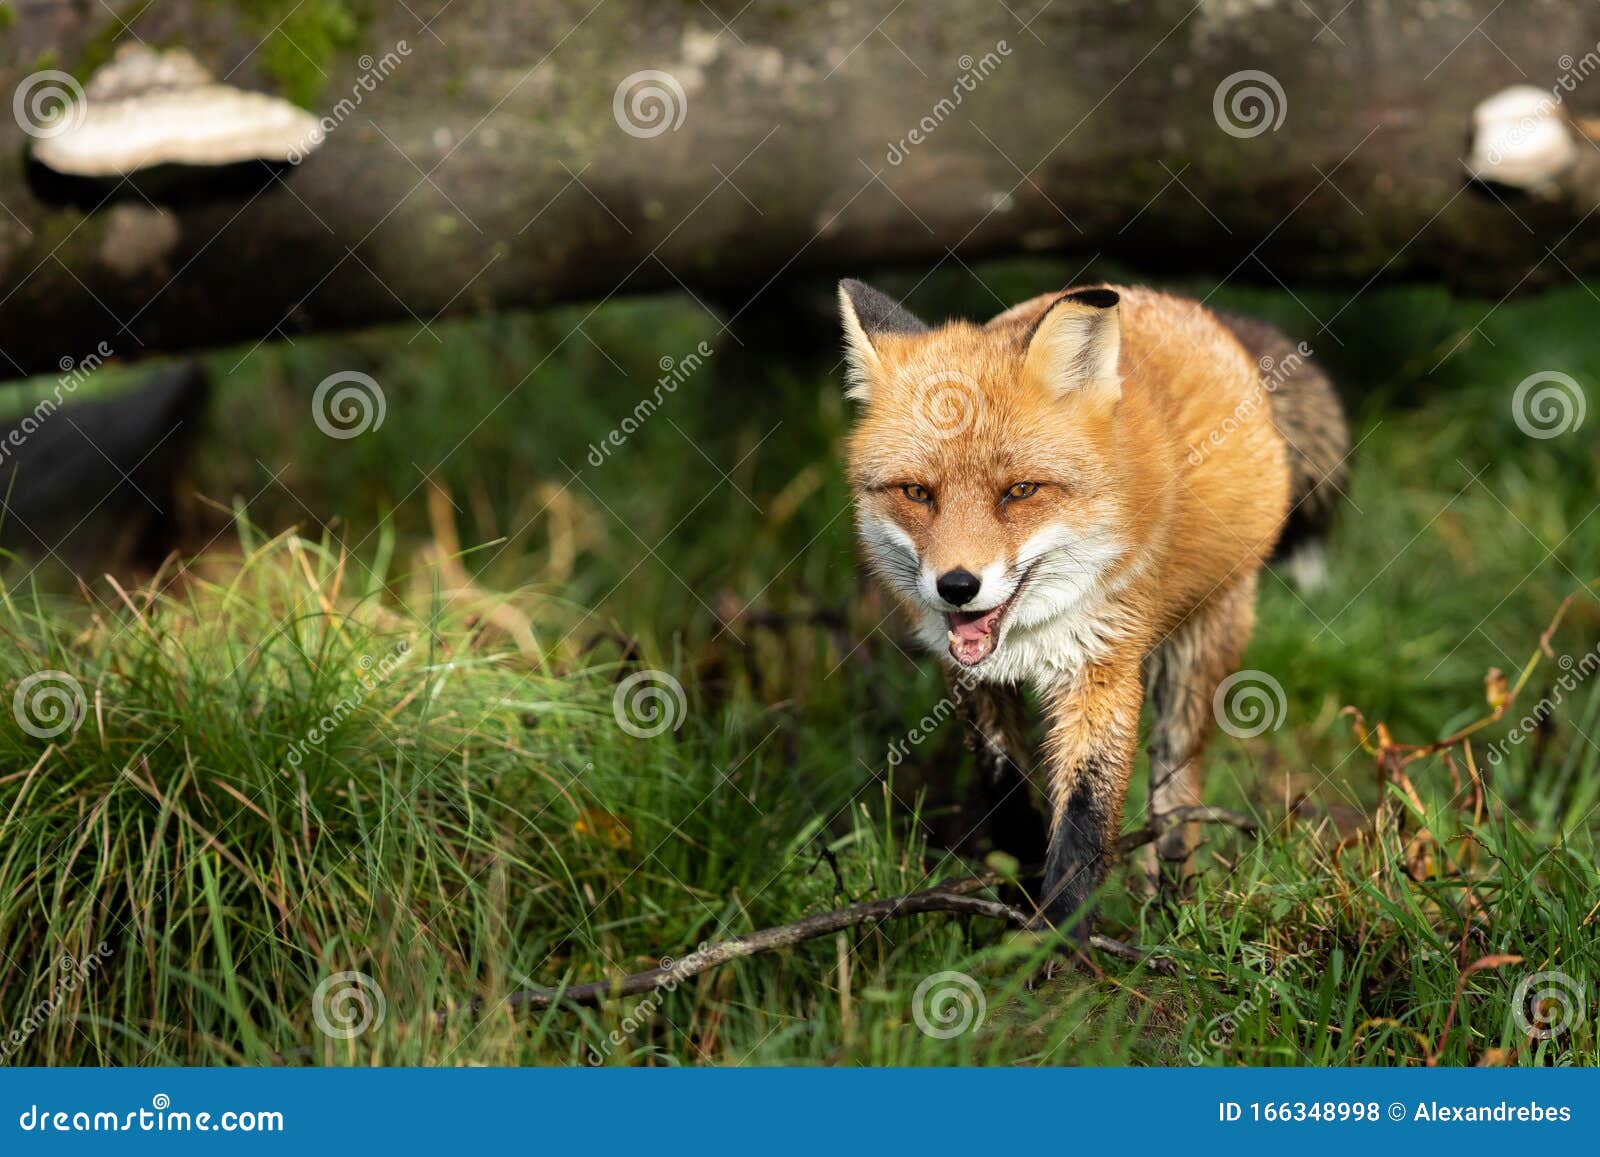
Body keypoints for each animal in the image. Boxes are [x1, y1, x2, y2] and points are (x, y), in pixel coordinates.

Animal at [838, 279, 1348, 936]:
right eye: (917, 492)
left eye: (1020, 491)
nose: (956, 586)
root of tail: (1190, 307)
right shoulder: (969, 676)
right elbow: (1006, 790)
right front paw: (1019, 893)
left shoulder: (1101, 667)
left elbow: (1085, 819)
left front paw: (1058, 940)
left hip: (1198, 652)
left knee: (1175, 801)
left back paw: (1170, 909)